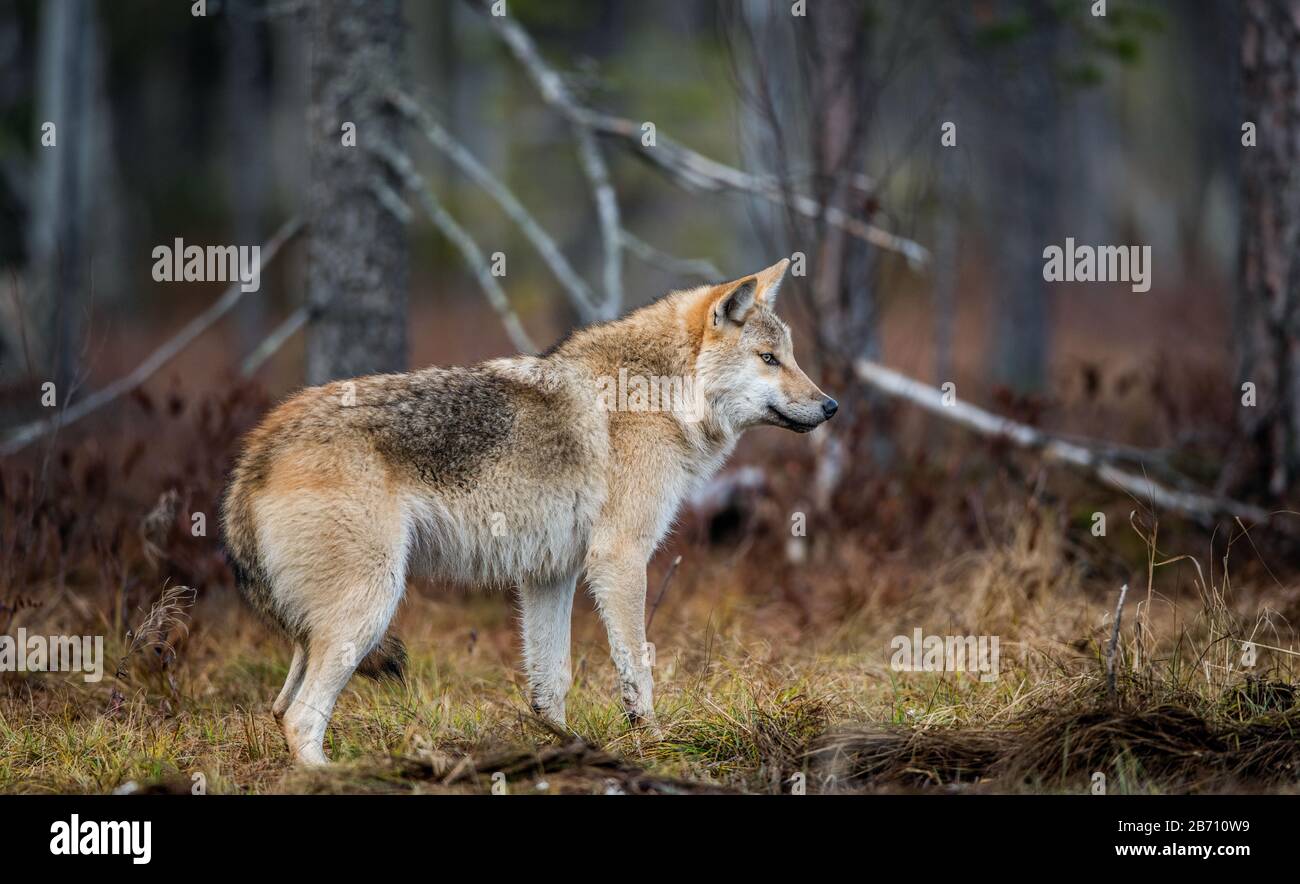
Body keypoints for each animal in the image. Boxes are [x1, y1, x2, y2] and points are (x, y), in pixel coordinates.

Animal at [221, 258, 837, 764]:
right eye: (768, 359)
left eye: (791, 357)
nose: (830, 405)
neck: (661, 396)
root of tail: (259, 447)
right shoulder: (619, 559)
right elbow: (637, 667)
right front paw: (655, 744)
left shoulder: (549, 573)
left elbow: (550, 685)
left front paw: (565, 750)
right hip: (369, 605)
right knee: (301, 719)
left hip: (325, 624)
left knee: (279, 708)